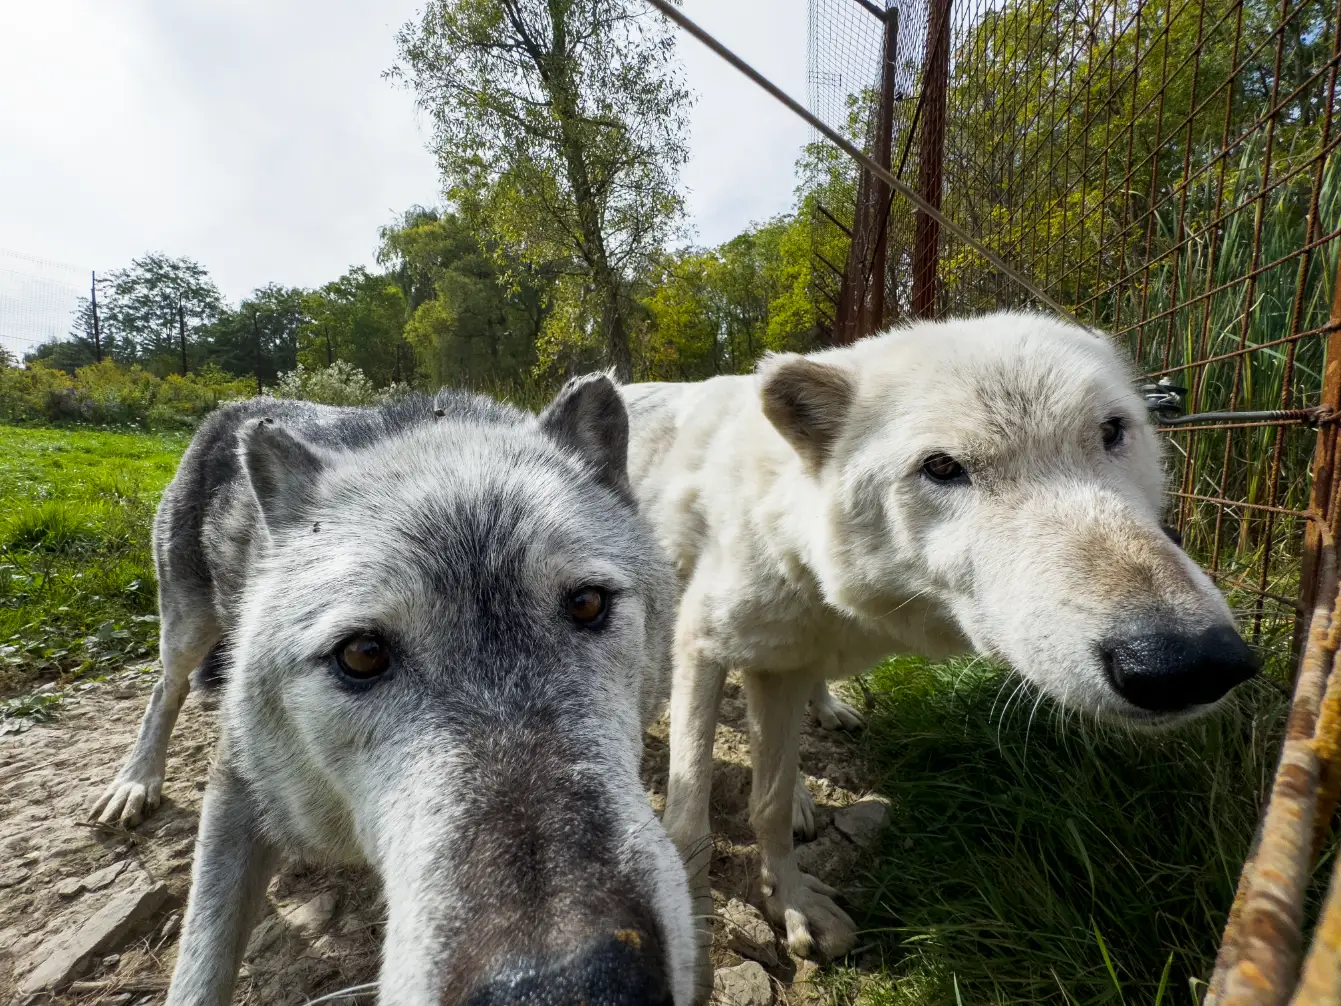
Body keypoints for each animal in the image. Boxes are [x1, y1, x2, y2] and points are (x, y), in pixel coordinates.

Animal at [88, 376, 695, 1006]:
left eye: (587, 603)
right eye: (361, 654)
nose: (563, 987)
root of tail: (234, 407)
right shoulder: (239, 780)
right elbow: (202, 960)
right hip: (185, 629)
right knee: (166, 689)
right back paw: (135, 781)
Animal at [620, 311, 1258, 982]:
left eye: (1112, 431)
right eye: (942, 467)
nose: (1186, 662)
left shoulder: (787, 663)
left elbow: (766, 805)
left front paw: (792, 902)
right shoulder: (703, 645)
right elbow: (689, 827)